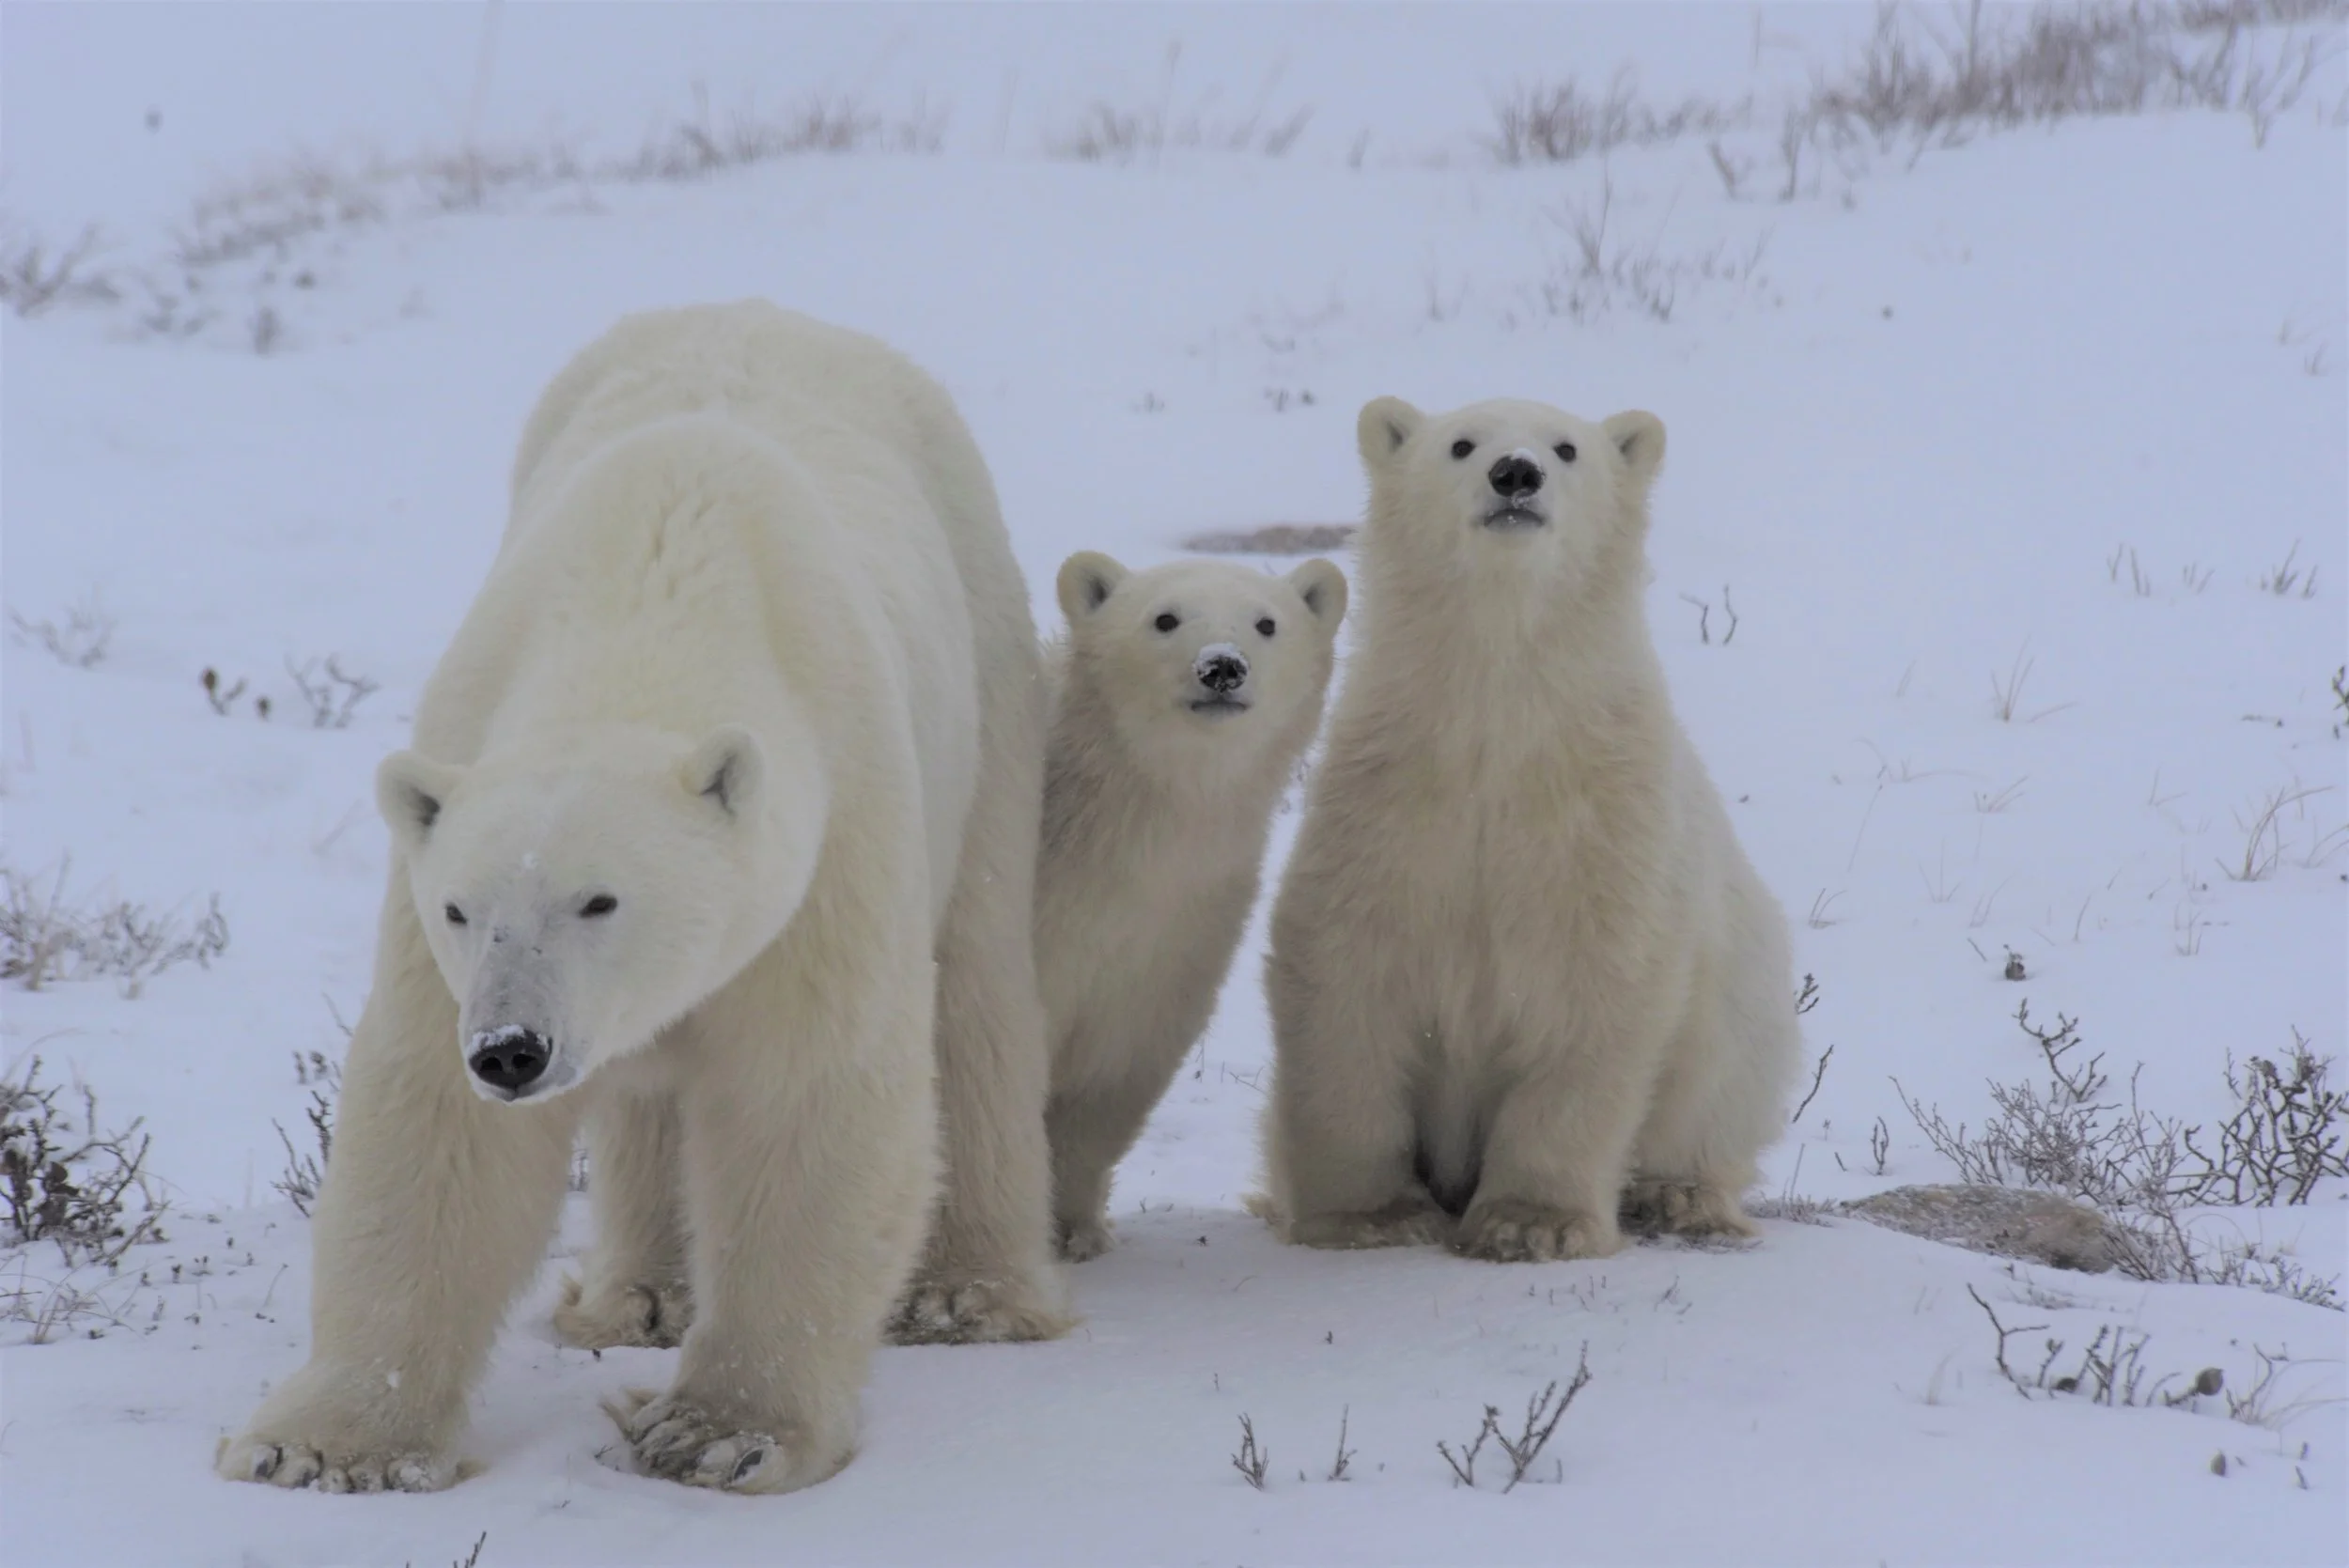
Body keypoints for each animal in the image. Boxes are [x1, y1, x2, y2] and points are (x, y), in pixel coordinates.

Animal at [216, 300, 1065, 1498]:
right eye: (463, 910)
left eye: (600, 901)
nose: (511, 1050)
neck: (652, 609)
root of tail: (764, 308)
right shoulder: (459, 806)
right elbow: (434, 1123)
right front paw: (325, 1442)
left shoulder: (830, 837)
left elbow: (808, 1096)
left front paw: (720, 1432)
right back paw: (642, 1292)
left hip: (982, 675)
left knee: (977, 980)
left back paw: (968, 1292)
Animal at [1039, 553, 1347, 1261]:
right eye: (1165, 618)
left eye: (1267, 622)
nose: (1222, 667)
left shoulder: (1175, 927)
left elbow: (1110, 1077)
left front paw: (1075, 1229)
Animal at [1255, 395, 1800, 1263]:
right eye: (1461, 444)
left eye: (1568, 447)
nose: (1516, 473)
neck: (1501, 725)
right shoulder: (1385, 810)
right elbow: (1347, 980)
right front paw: (1371, 1215)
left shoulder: (1603, 827)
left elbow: (1592, 993)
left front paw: (1531, 1221)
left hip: (1748, 995)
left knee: (1724, 1082)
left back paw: (1680, 1195)